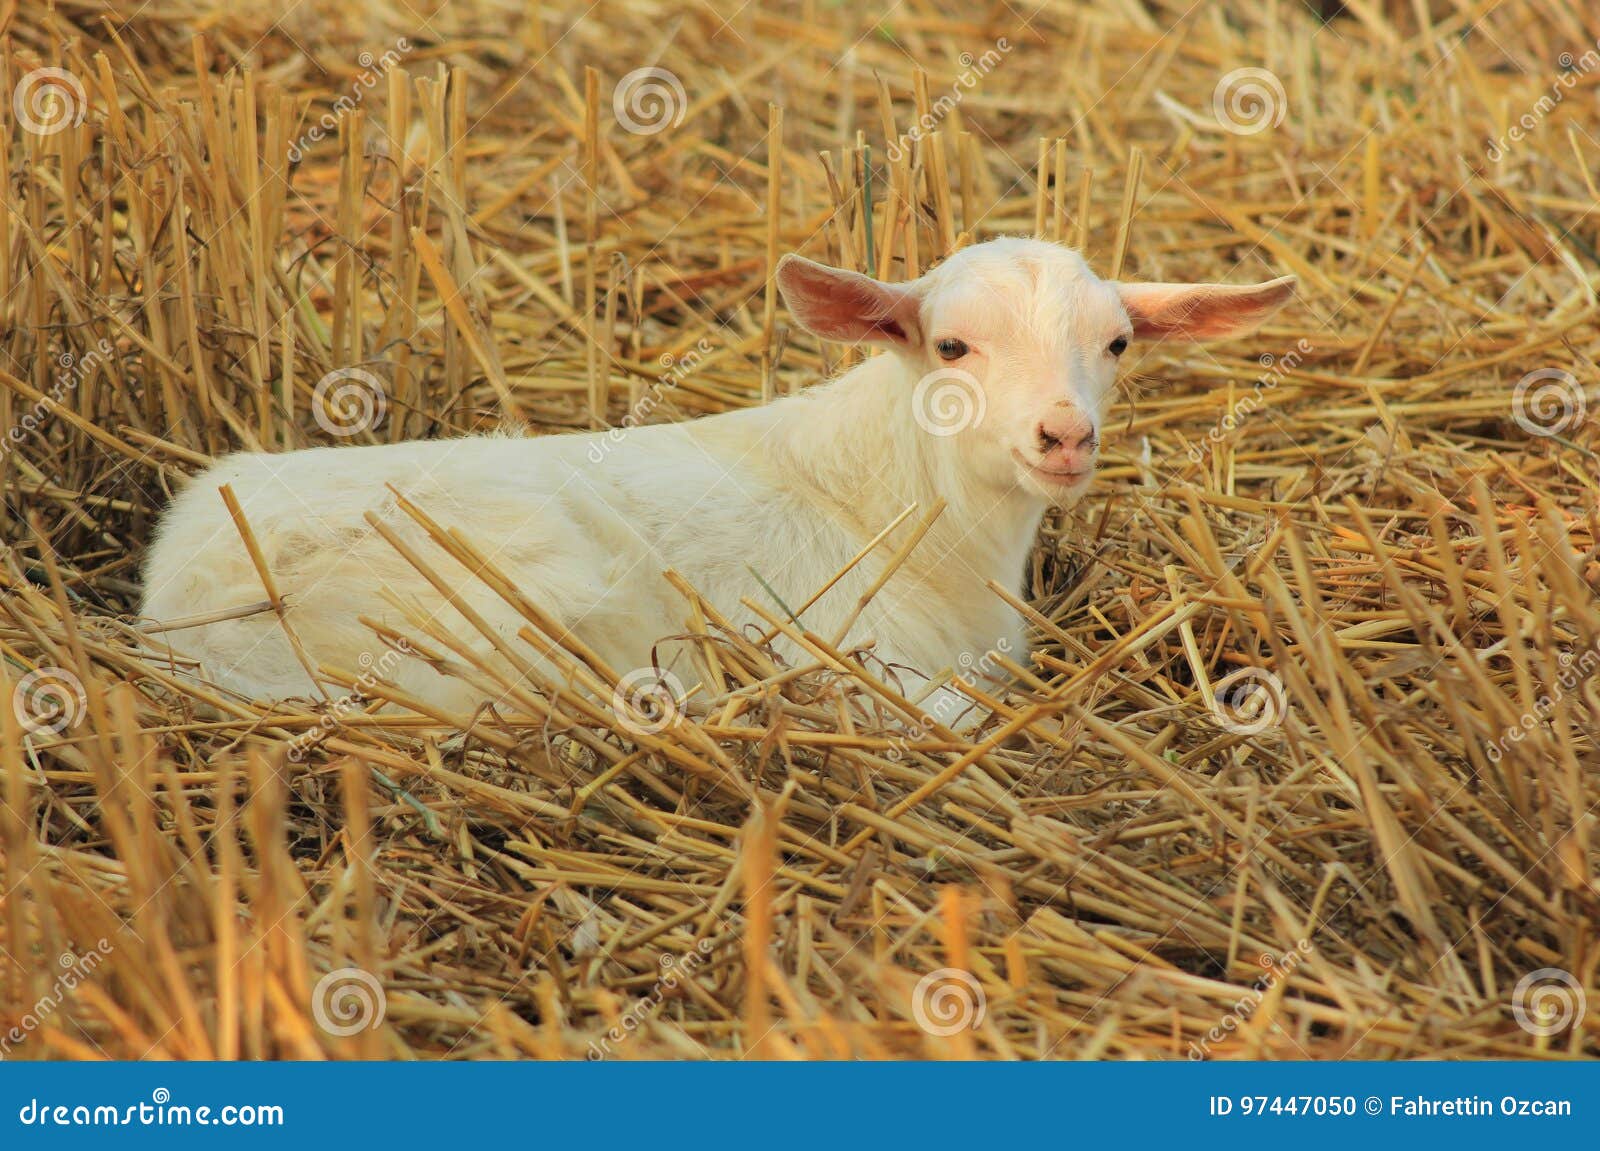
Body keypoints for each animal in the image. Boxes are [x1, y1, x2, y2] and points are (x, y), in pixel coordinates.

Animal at [140, 237, 1293, 728]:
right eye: (952, 345)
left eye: (1117, 343)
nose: (1064, 434)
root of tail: (174, 605)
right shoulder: (837, 646)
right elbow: (945, 709)